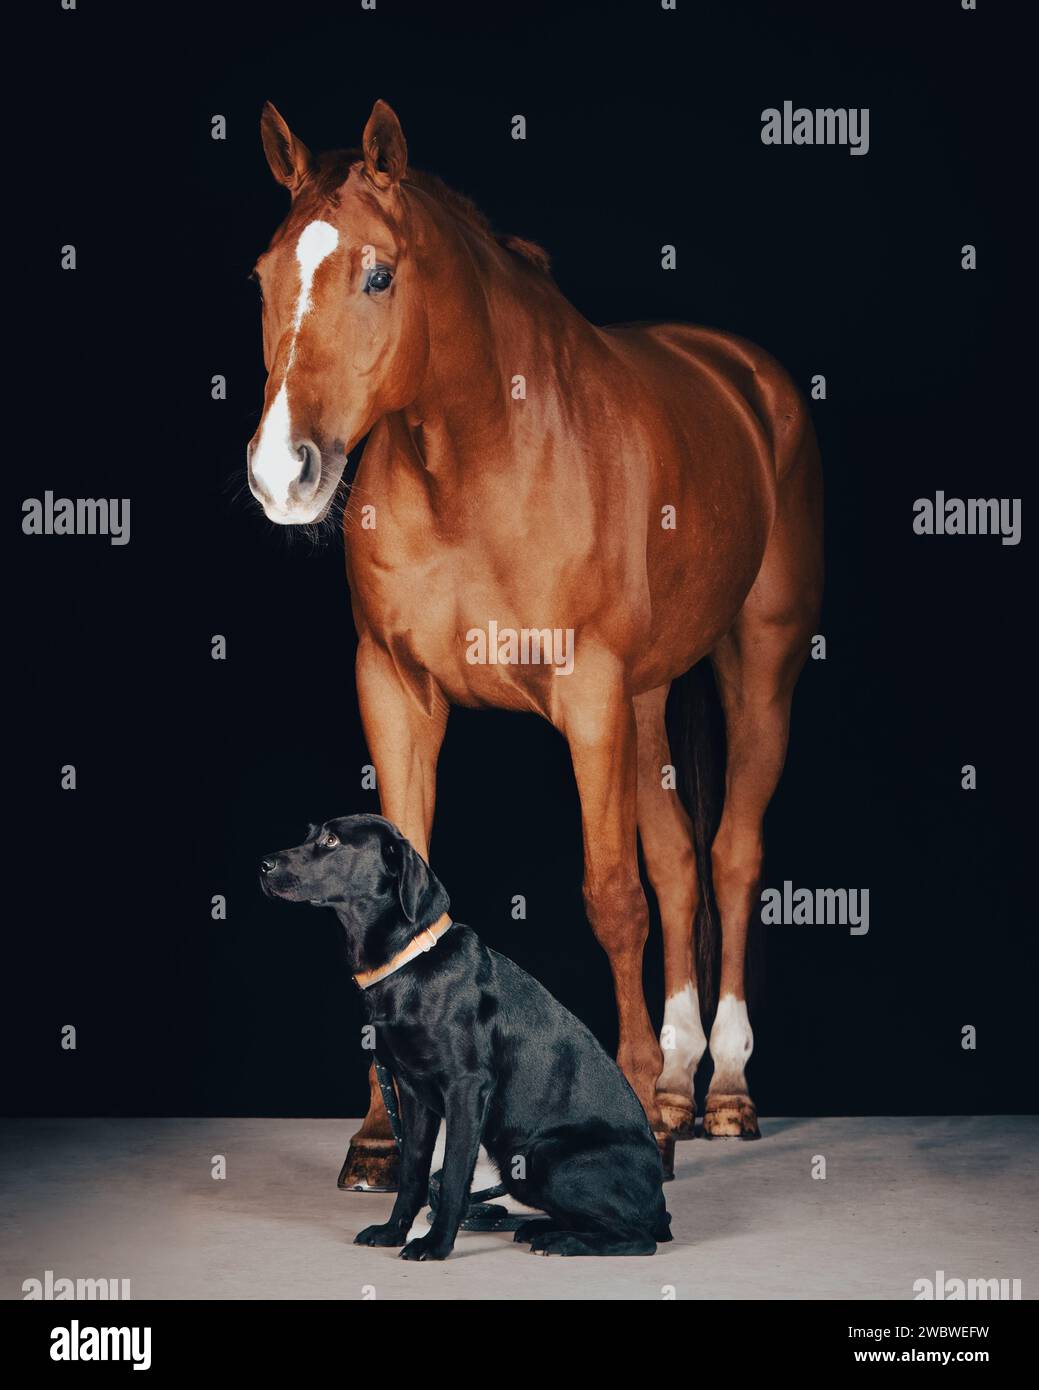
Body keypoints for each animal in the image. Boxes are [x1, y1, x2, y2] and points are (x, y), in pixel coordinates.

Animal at [246, 99, 823, 1187]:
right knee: (678, 859)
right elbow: (397, 896)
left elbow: (612, 896)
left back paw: (720, 1088)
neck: (478, 463)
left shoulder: (588, 690)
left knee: (729, 856)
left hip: (756, 665)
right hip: (646, 703)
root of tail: (742, 375)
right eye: (262, 275)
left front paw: (632, 1116)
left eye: (379, 275)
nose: (279, 472)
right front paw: (384, 1134)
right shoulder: (394, 690)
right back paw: (677, 1085)